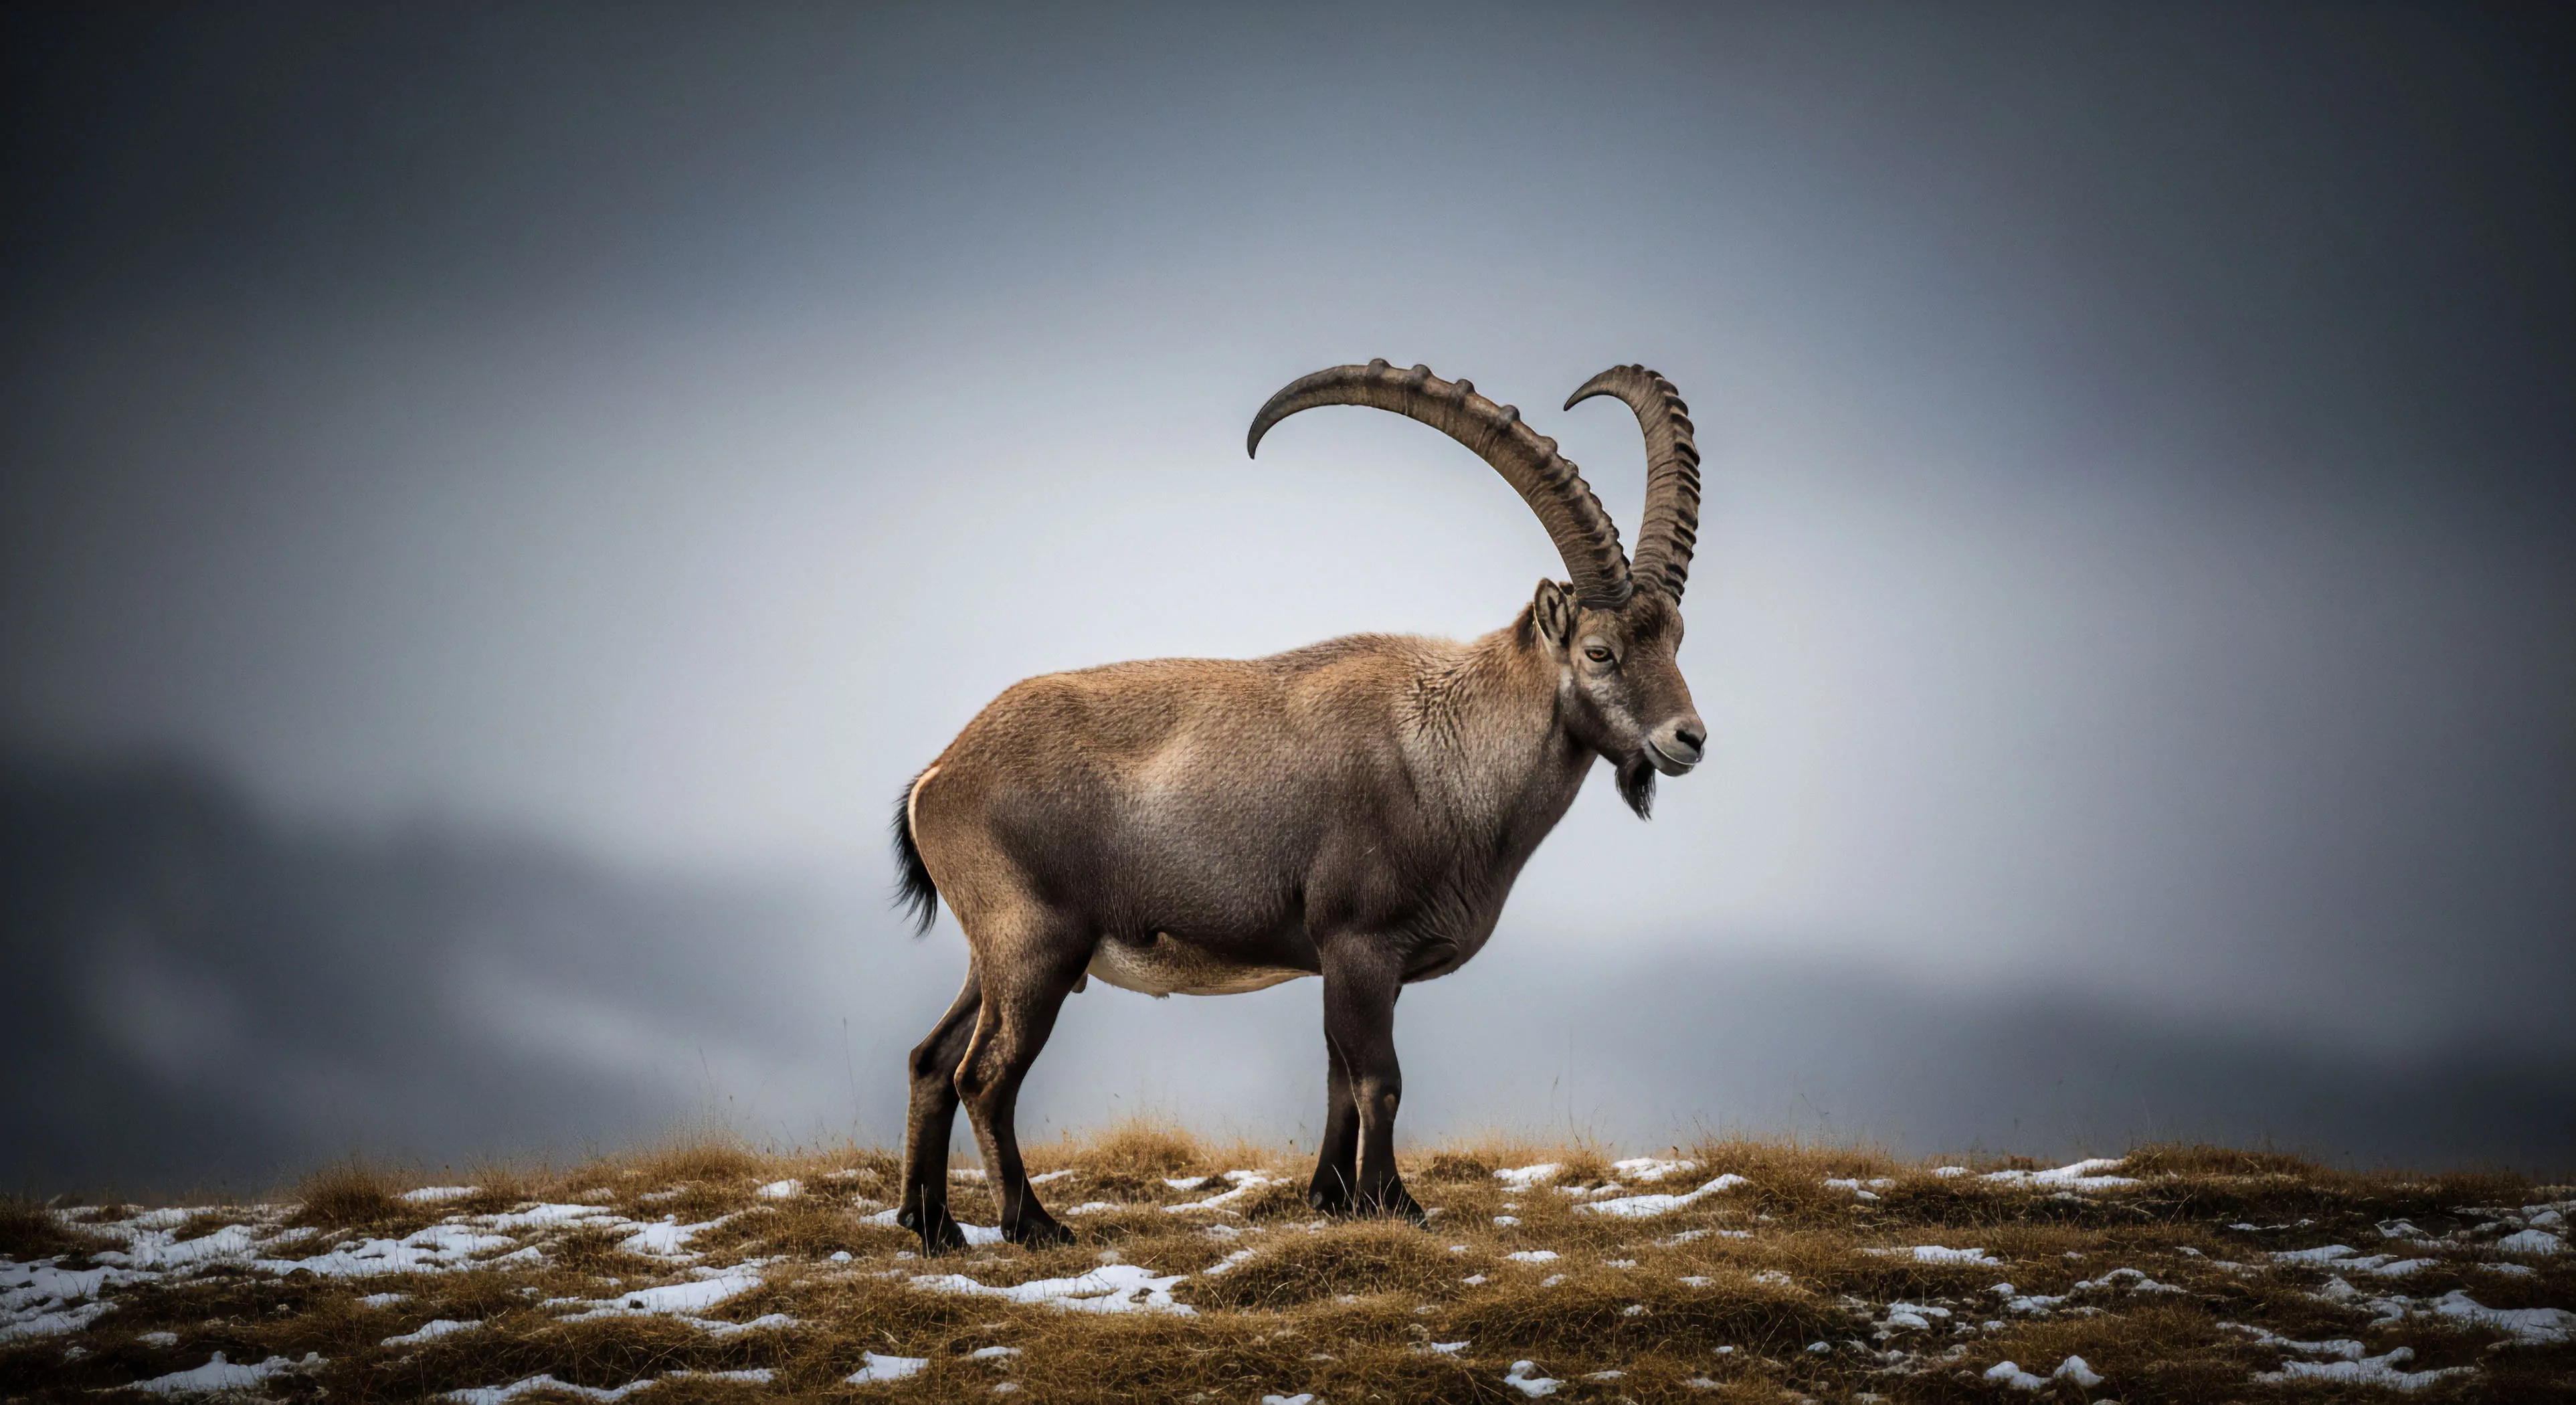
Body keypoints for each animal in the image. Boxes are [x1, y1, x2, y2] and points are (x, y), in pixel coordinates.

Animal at [890, 360, 1707, 1250]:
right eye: (1599, 652)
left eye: (1676, 641)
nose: (1688, 739)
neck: (1447, 752)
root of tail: (939, 774)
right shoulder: (1358, 942)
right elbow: (1379, 1079)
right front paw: (1394, 1204)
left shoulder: (1346, 963)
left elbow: (1336, 1080)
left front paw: (1331, 1197)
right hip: (1036, 946)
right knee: (984, 1073)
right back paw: (1031, 1224)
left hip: (993, 953)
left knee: (930, 1059)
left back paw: (931, 1224)